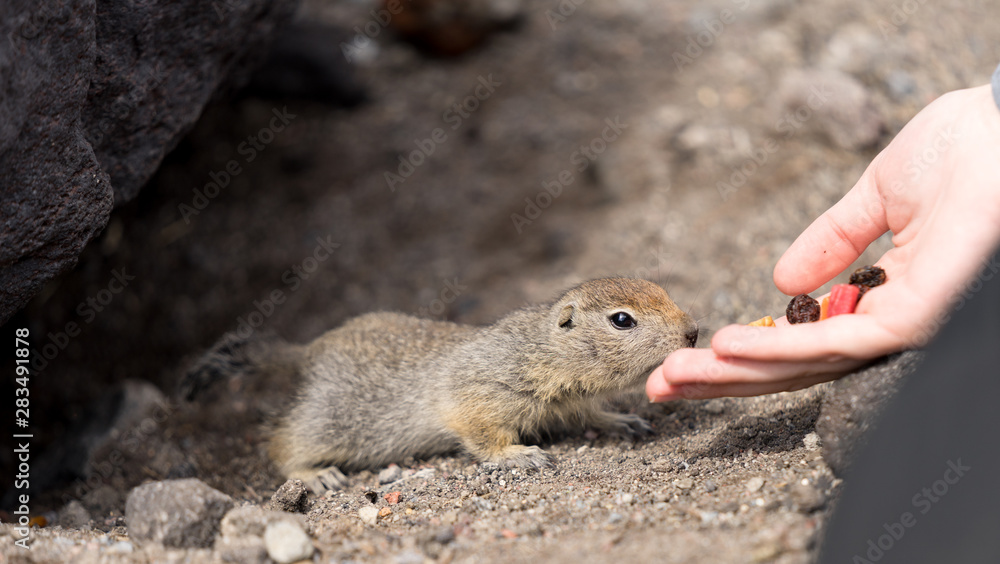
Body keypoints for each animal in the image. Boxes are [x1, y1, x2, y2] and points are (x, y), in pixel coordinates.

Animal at [183, 277, 698, 492]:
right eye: (622, 320)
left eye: (662, 289)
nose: (694, 331)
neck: (542, 350)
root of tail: (307, 350)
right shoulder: (480, 394)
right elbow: (481, 433)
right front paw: (521, 456)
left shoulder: (573, 403)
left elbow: (595, 414)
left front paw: (624, 420)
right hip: (330, 420)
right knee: (282, 443)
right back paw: (315, 474)